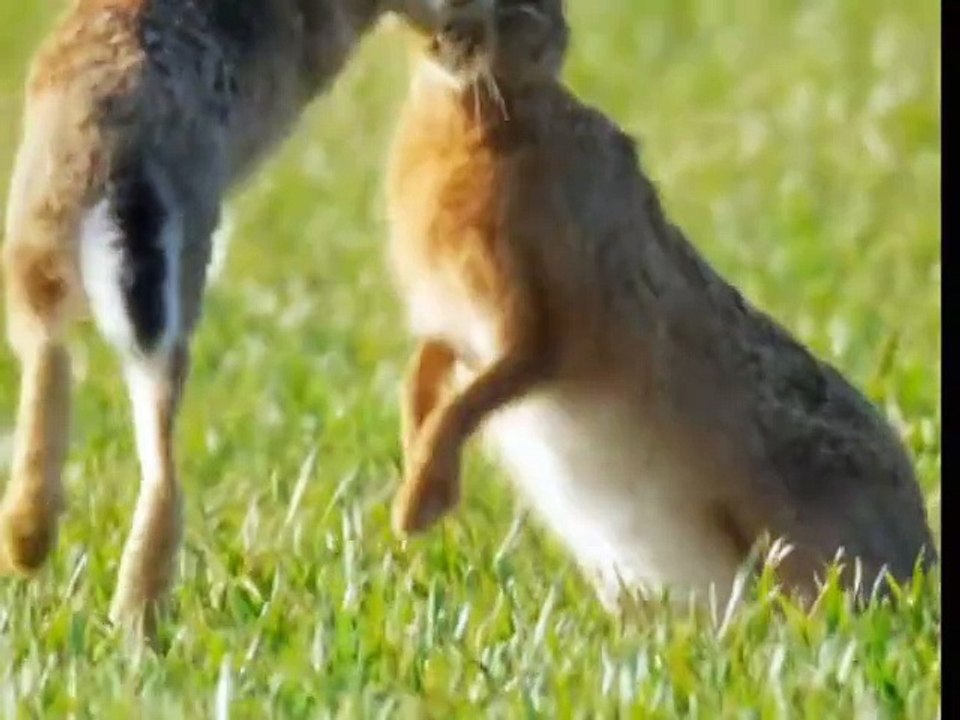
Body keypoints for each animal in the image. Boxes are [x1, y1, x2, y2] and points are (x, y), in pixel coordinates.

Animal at [0, 0, 494, 638]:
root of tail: (107, 149)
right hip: (170, 267)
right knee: (161, 462)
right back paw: (139, 618)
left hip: (37, 244)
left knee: (48, 358)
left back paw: (29, 544)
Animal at [384, 0, 937, 610]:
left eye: (526, 6)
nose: (447, 34)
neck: (474, 114)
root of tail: (920, 559)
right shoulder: (453, 324)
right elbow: (423, 381)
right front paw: (412, 482)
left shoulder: (540, 316)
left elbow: (470, 400)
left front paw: (417, 509)